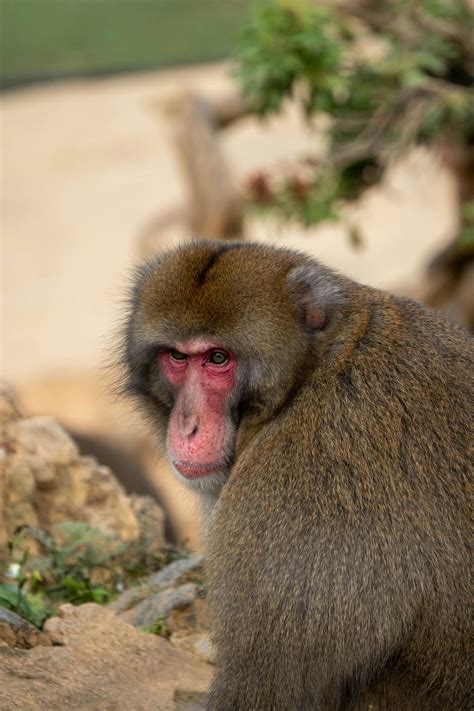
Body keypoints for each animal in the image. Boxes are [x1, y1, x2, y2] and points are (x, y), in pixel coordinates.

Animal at [121, 241, 473, 710]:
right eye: (177, 356)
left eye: (218, 358)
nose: (189, 425)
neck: (312, 371)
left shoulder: (298, 484)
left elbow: (268, 690)